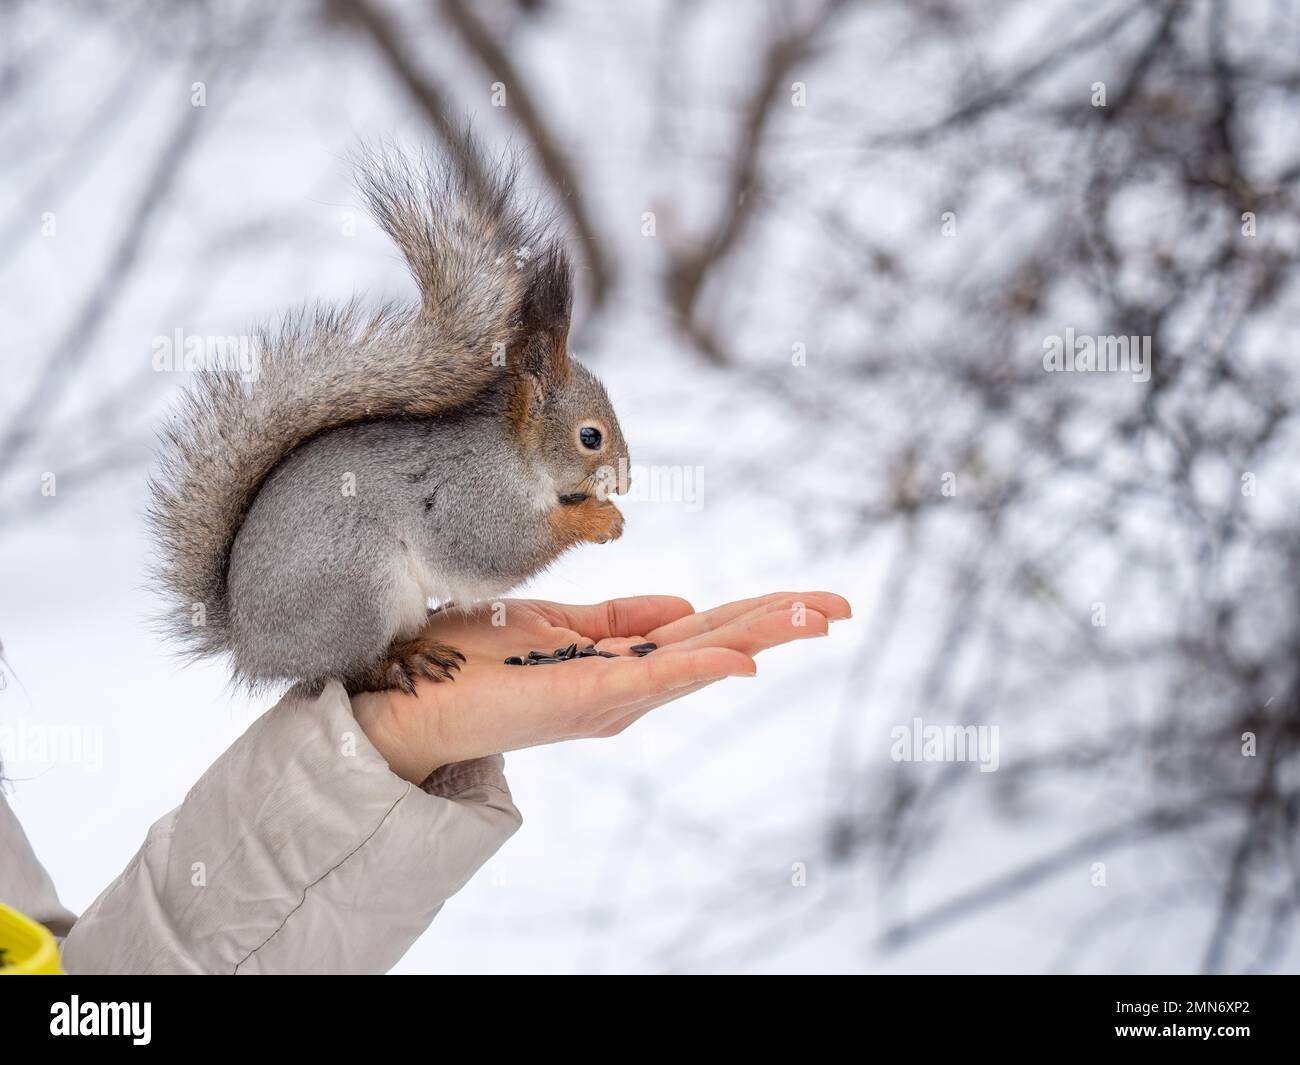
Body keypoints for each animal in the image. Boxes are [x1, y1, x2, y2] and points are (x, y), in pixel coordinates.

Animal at [148, 137, 629, 696]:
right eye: (590, 437)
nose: (626, 482)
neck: (515, 453)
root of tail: (252, 646)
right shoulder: (471, 498)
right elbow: (503, 548)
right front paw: (595, 519)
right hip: (357, 588)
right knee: (351, 670)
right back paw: (405, 661)